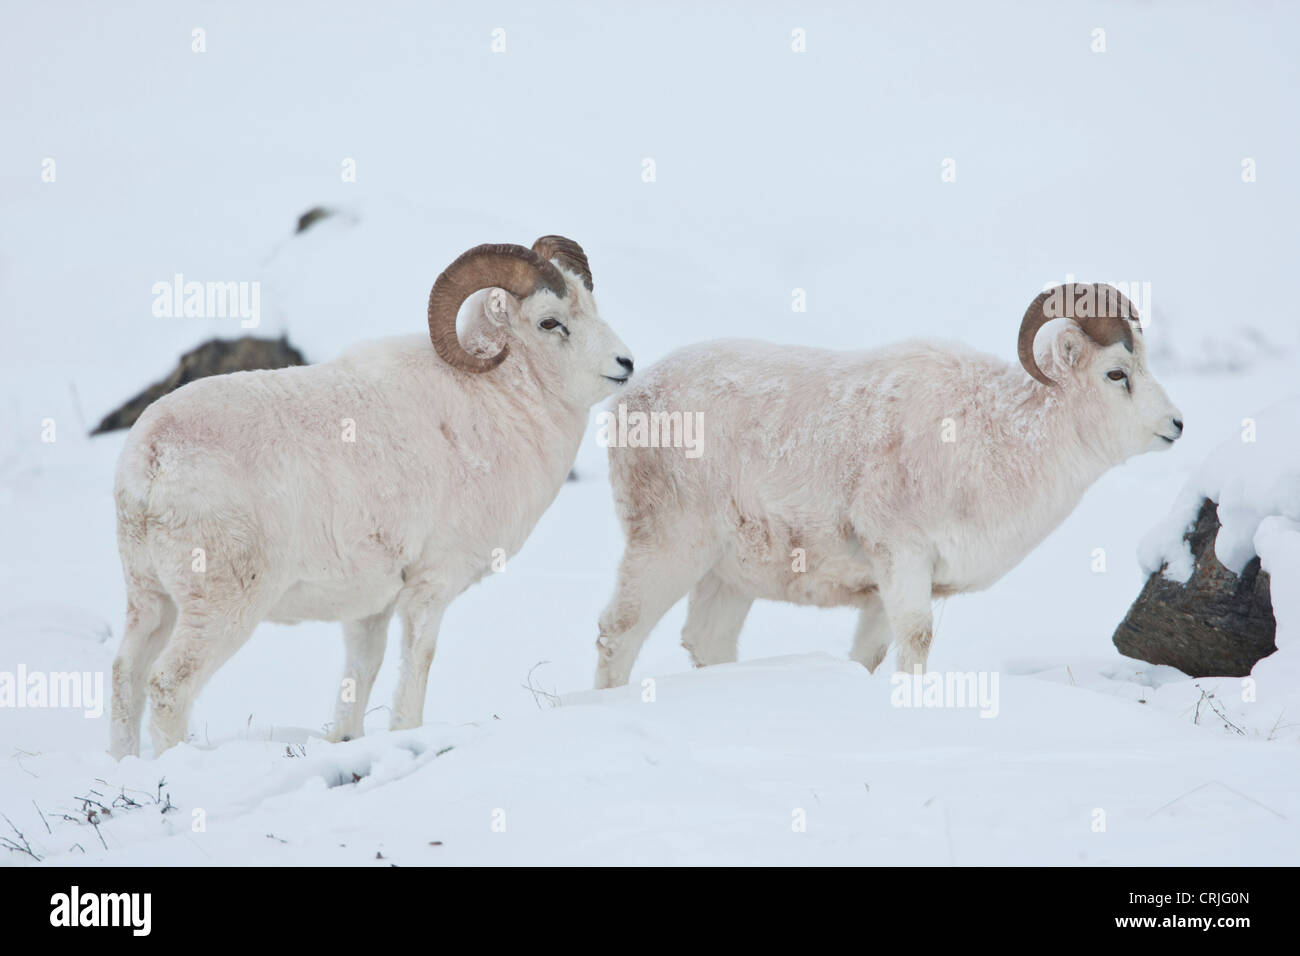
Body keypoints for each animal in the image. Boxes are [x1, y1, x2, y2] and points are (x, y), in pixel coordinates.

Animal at [110, 236, 634, 757]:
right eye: (550, 322)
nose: (624, 364)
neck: (494, 404)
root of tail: (154, 457)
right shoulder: (432, 585)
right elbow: (417, 662)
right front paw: (407, 733)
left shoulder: (370, 607)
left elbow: (363, 672)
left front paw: (345, 740)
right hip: (221, 609)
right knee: (167, 686)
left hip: (151, 600)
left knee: (125, 677)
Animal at [593, 283, 1182, 687]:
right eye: (1116, 373)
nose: (1175, 425)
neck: (994, 436)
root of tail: (632, 397)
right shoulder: (903, 555)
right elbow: (917, 641)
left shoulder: (885, 588)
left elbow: (872, 656)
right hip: (671, 547)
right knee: (619, 632)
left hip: (727, 575)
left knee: (707, 641)